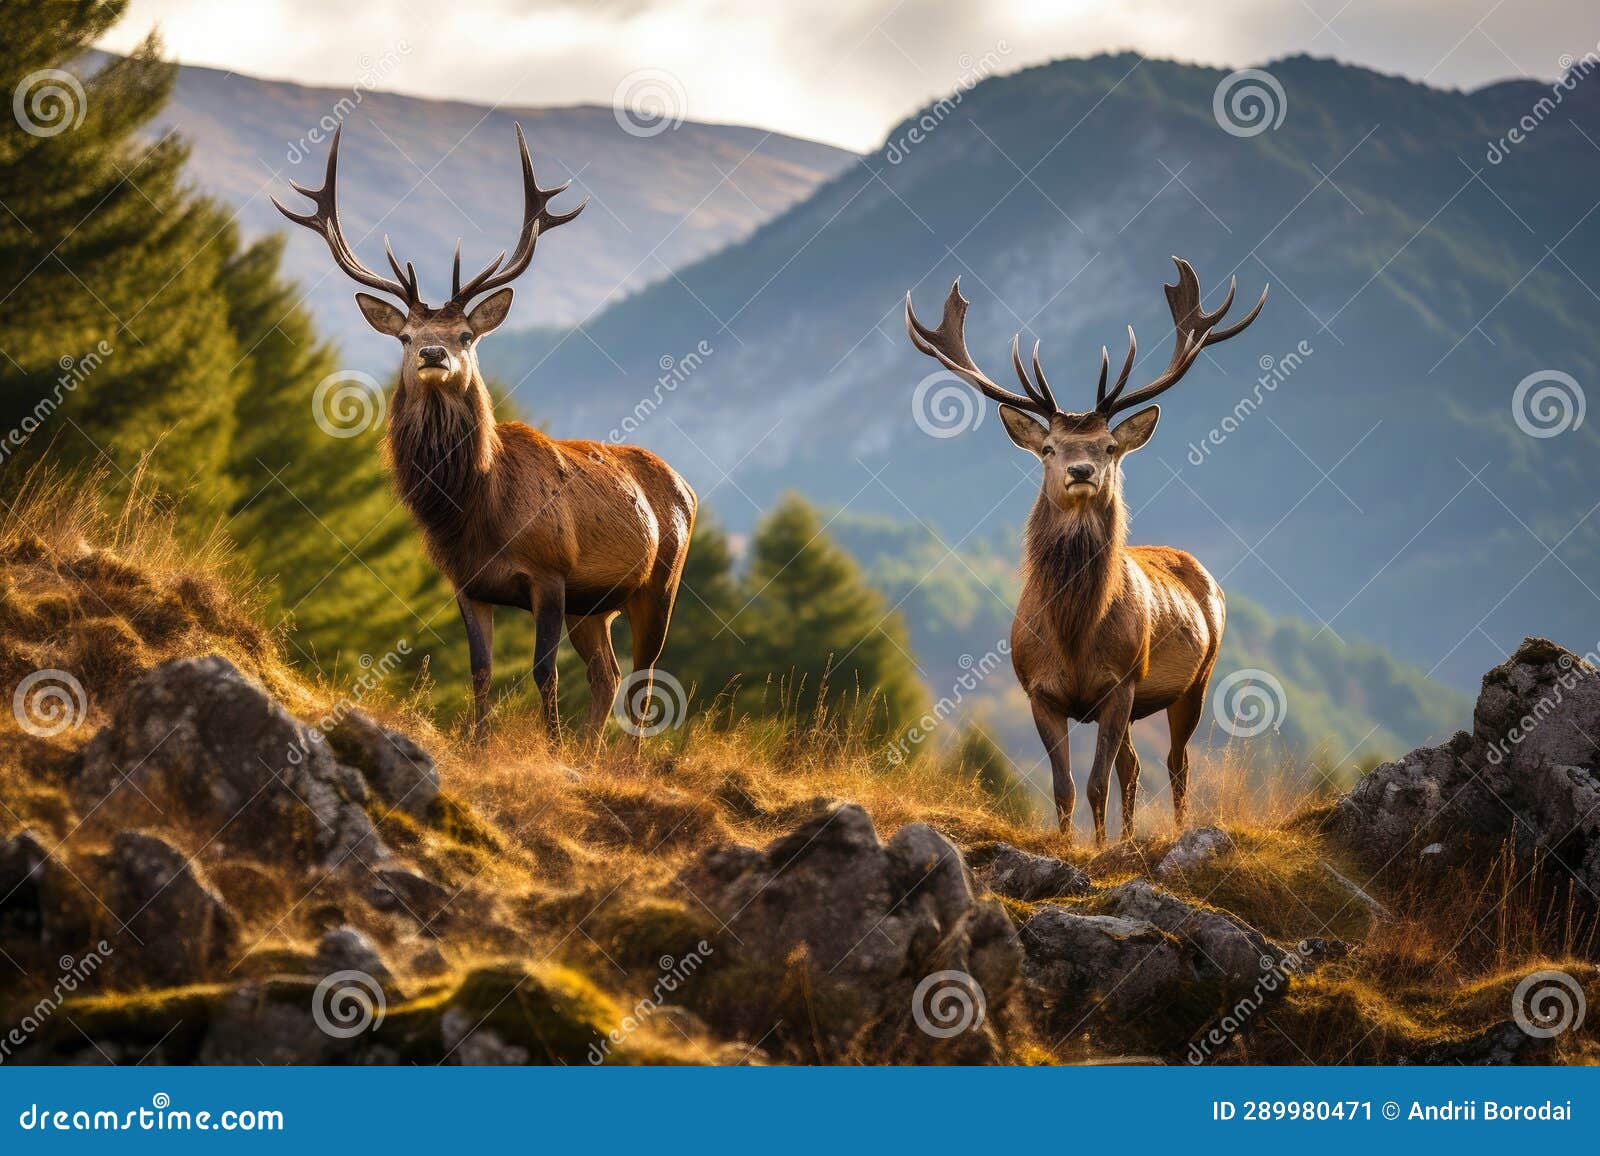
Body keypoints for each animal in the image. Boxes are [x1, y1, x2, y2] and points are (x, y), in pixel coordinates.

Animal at [275, 125, 697, 743]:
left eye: (466, 335)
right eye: (405, 335)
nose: (432, 353)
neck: (478, 511)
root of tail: (685, 487)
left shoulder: (551, 574)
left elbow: (543, 672)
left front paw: (550, 746)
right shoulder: (468, 584)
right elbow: (480, 669)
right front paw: (479, 742)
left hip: (659, 584)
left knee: (643, 681)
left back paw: (620, 758)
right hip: (595, 607)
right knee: (607, 673)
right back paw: (592, 750)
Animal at [906, 259, 1265, 844]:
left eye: (1109, 446)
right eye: (1050, 447)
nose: (1081, 470)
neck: (1073, 633)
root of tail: (1203, 574)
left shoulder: (1119, 684)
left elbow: (1097, 784)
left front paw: (1098, 851)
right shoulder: (1039, 691)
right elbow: (1065, 787)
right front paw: (1074, 844)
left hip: (1196, 678)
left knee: (1176, 763)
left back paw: (1170, 829)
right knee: (1135, 767)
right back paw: (1126, 836)